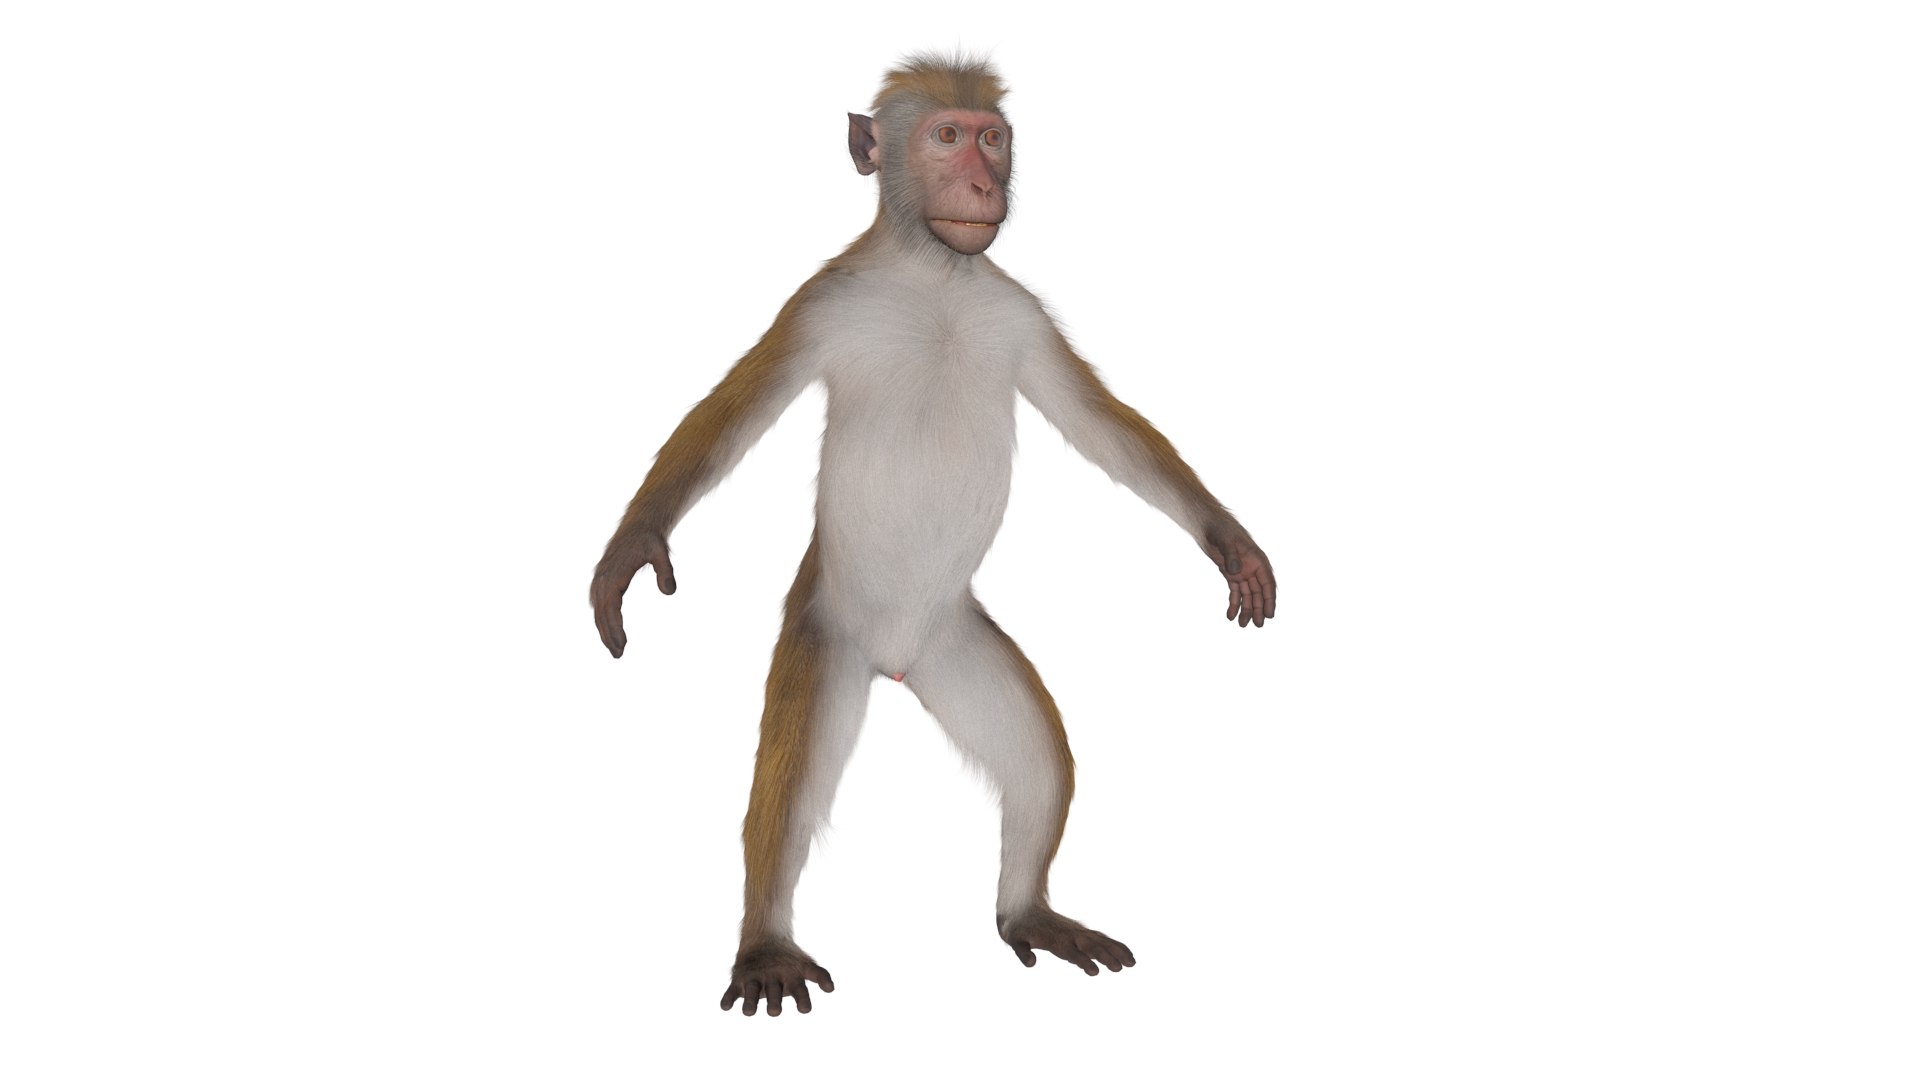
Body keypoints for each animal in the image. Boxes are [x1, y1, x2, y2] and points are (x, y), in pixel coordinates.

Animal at [591, 54, 1276, 1017]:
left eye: (993, 138)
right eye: (946, 137)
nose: (984, 183)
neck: (937, 278)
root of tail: (895, 659)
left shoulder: (1021, 316)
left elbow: (1104, 430)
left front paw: (1229, 542)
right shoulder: (821, 303)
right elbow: (731, 415)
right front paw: (632, 545)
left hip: (956, 642)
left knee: (1038, 761)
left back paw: (1027, 908)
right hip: (827, 628)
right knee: (786, 789)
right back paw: (765, 940)